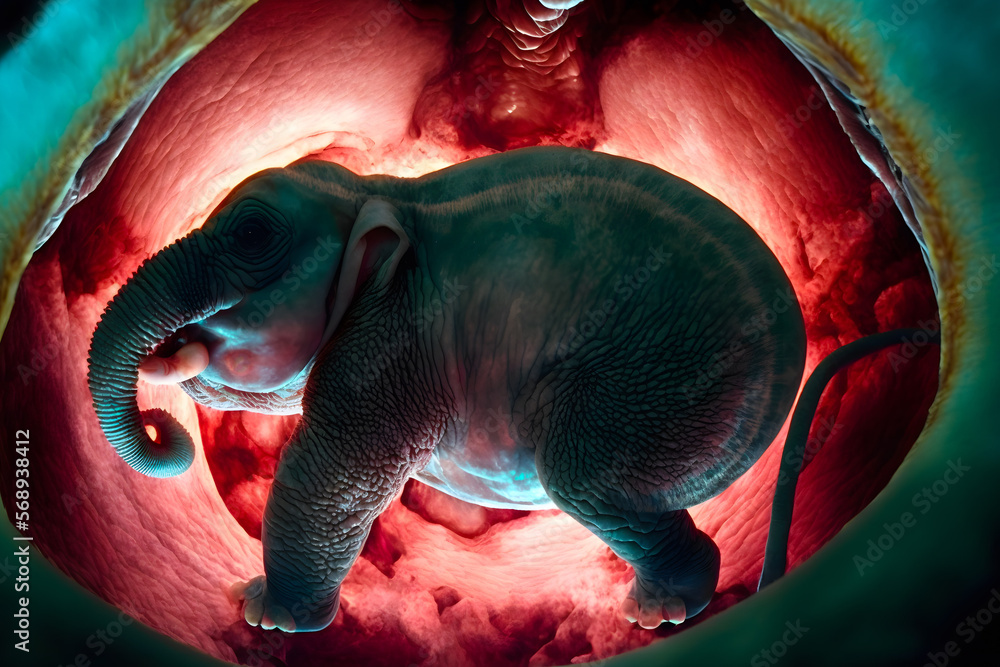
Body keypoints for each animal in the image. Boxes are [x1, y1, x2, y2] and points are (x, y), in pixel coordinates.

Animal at [87, 146, 808, 632]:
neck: (378, 192)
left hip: (663, 373)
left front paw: (266, 614)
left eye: (252, 233)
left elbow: (333, 470)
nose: (160, 426)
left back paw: (661, 610)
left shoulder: (394, 338)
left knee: (581, 476)